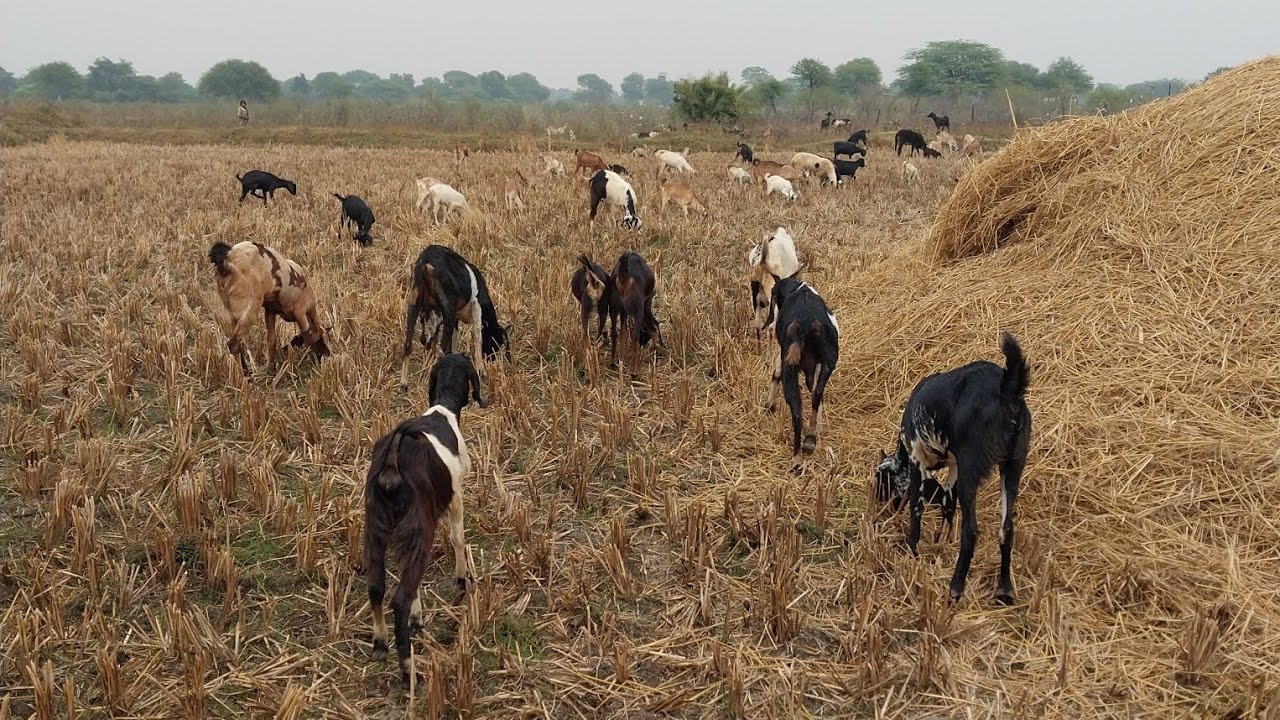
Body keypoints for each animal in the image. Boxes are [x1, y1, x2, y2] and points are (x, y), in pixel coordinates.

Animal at [208, 241, 331, 373]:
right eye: (323, 341)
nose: (329, 356)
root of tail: (226, 262)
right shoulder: (300, 312)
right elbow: (308, 337)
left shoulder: (270, 310)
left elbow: (272, 340)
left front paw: (271, 369)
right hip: (249, 308)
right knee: (234, 344)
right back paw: (245, 375)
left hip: (229, 312)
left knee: (237, 343)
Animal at [364, 352, 486, 682]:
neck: (443, 411)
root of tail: (392, 463)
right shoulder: (455, 498)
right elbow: (458, 539)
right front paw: (462, 580)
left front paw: (418, 617)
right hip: (420, 529)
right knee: (399, 599)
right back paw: (408, 669)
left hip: (376, 529)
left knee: (376, 587)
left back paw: (380, 644)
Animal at [400, 245, 509, 388]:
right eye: (496, 341)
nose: (490, 359)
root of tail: (426, 261)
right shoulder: (476, 305)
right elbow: (477, 336)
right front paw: (481, 370)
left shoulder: (454, 318)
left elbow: (454, 338)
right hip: (447, 307)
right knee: (444, 345)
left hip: (414, 305)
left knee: (408, 344)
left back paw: (404, 383)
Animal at [763, 277, 838, 469]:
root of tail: (804, 324)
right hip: (828, 361)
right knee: (815, 395)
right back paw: (809, 438)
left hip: (792, 369)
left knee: (797, 408)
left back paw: (798, 457)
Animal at [874, 332, 1030, 605]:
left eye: (880, 478)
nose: (878, 502)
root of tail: (1007, 391)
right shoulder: (954, 467)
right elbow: (948, 504)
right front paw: (942, 542)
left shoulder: (917, 460)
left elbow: (916, 506)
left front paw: (912, 550)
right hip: (1012, 468)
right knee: (1007, 529)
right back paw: (1004, 590)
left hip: (972, 469)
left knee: (971, 531)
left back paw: (955, 587)